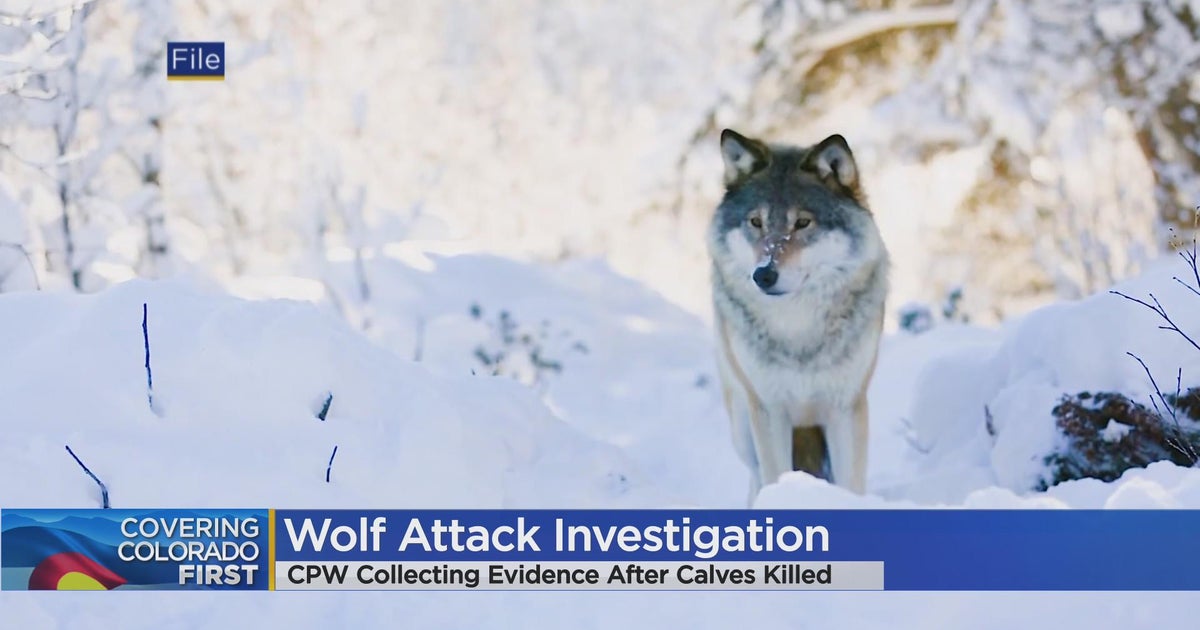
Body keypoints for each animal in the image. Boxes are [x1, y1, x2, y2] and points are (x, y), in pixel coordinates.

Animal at [707, 129, 888, 501]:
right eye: (756, 222)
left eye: (803, 222)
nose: (763, 274)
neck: (798, 331)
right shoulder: (768, 409)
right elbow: (774, 475)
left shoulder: (846, 409)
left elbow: (851, 484)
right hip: (742, 428)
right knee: (756, 478)